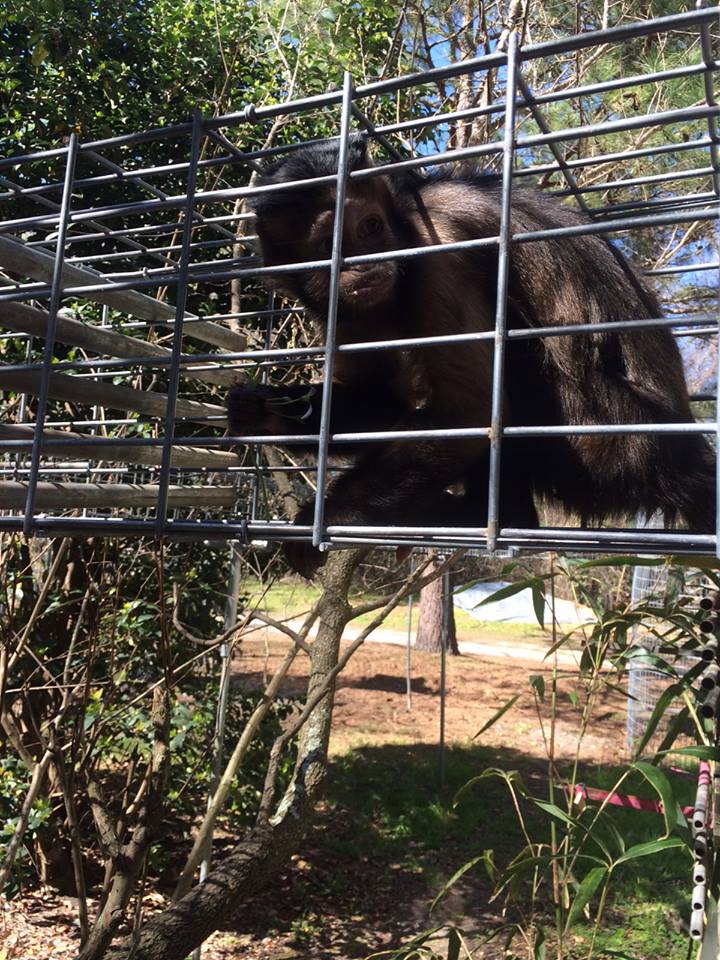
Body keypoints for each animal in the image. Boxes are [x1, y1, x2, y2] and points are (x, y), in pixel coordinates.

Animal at [227, 136, 715, 577]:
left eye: (370, 228)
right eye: (330, 245)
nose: (367, 265)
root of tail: (683, 452)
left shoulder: (438, 246)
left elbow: (469, 411)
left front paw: (319, 518)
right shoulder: (342, 304)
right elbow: (383, 399)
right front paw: (265, 413)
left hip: (608, 440)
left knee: (517, 362)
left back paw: (485, 517)